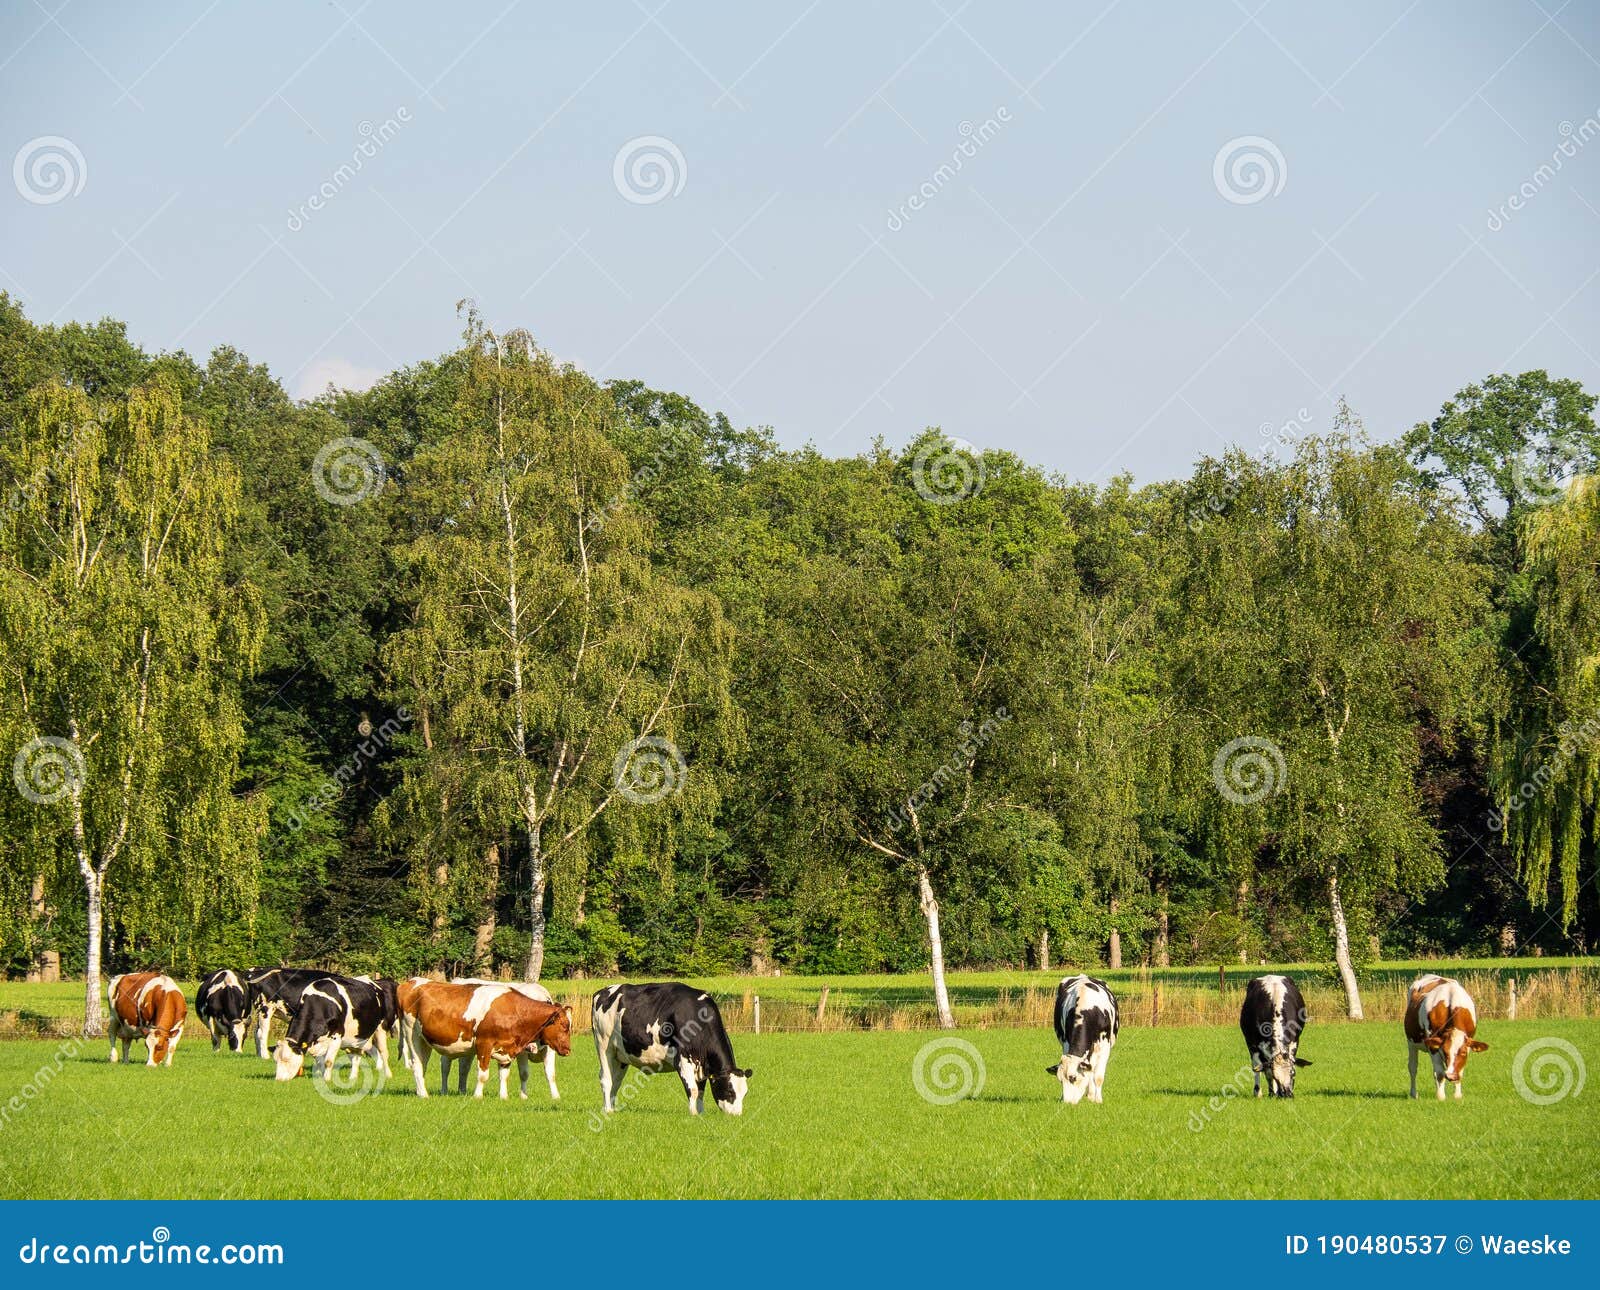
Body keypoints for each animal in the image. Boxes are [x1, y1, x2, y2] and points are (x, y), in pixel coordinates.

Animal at [404, 981, 572, 1100]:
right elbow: (485, 1074)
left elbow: (507, 1074)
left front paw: (504, 1097)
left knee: (439, 1066)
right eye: (564, 1026)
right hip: (413, 1036)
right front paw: (478, 1096)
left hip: (432, 1042)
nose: (568, 1050)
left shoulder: (510, 1048)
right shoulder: (484, 1044)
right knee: (425, 1065)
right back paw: (427, 1094)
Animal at [591, 983, 752, 1116]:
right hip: (603, 1045)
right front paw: (693, 1114)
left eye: (745, 1093)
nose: (737, 1115)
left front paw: (700, 1113)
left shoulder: (701, 1065)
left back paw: (611, 1108)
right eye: (730, 1092)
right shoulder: (683, 1059)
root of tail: (601, 992)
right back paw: (608, 1111)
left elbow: (700, 1091)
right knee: (606, 1079)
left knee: (616, 1081)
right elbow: (693, 1090)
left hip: (621, 1056)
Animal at [1046, 974, 1118, 1104]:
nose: (1067, 1102)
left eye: (1073, 1078)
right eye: (1060, 1080)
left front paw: (1098, 1100)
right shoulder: (1066, 1043)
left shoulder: (1104, 1047)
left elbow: (1098, 1076)